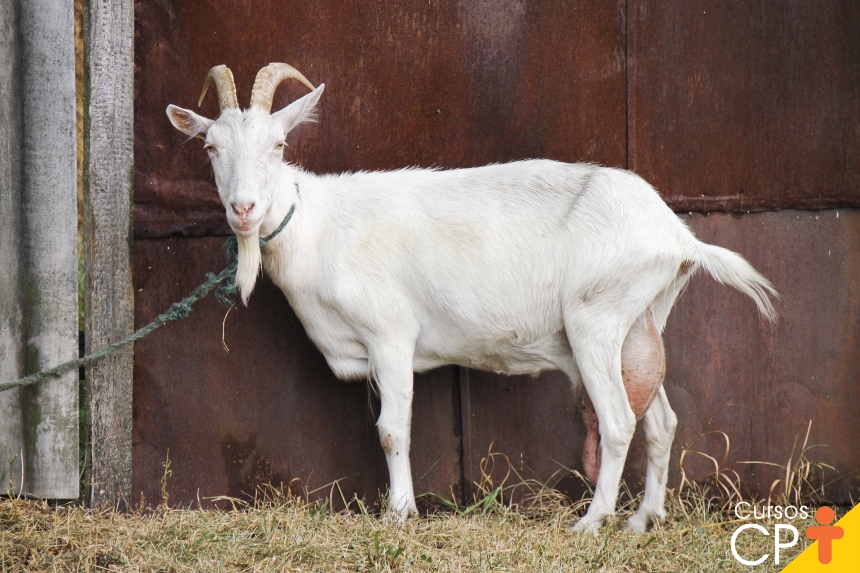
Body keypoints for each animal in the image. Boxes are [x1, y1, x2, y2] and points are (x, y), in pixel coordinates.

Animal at [166, 63, 777, 534]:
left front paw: (400, 514)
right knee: (661, 421)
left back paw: (591, 523)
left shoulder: (390, 334)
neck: (321, 227)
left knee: (620, 420)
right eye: (211, 147)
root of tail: (678, 236)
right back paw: (642, 519)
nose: (243, 209)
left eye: (278, 144)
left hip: (595, 320)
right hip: (641, 322)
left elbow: (392, 428)